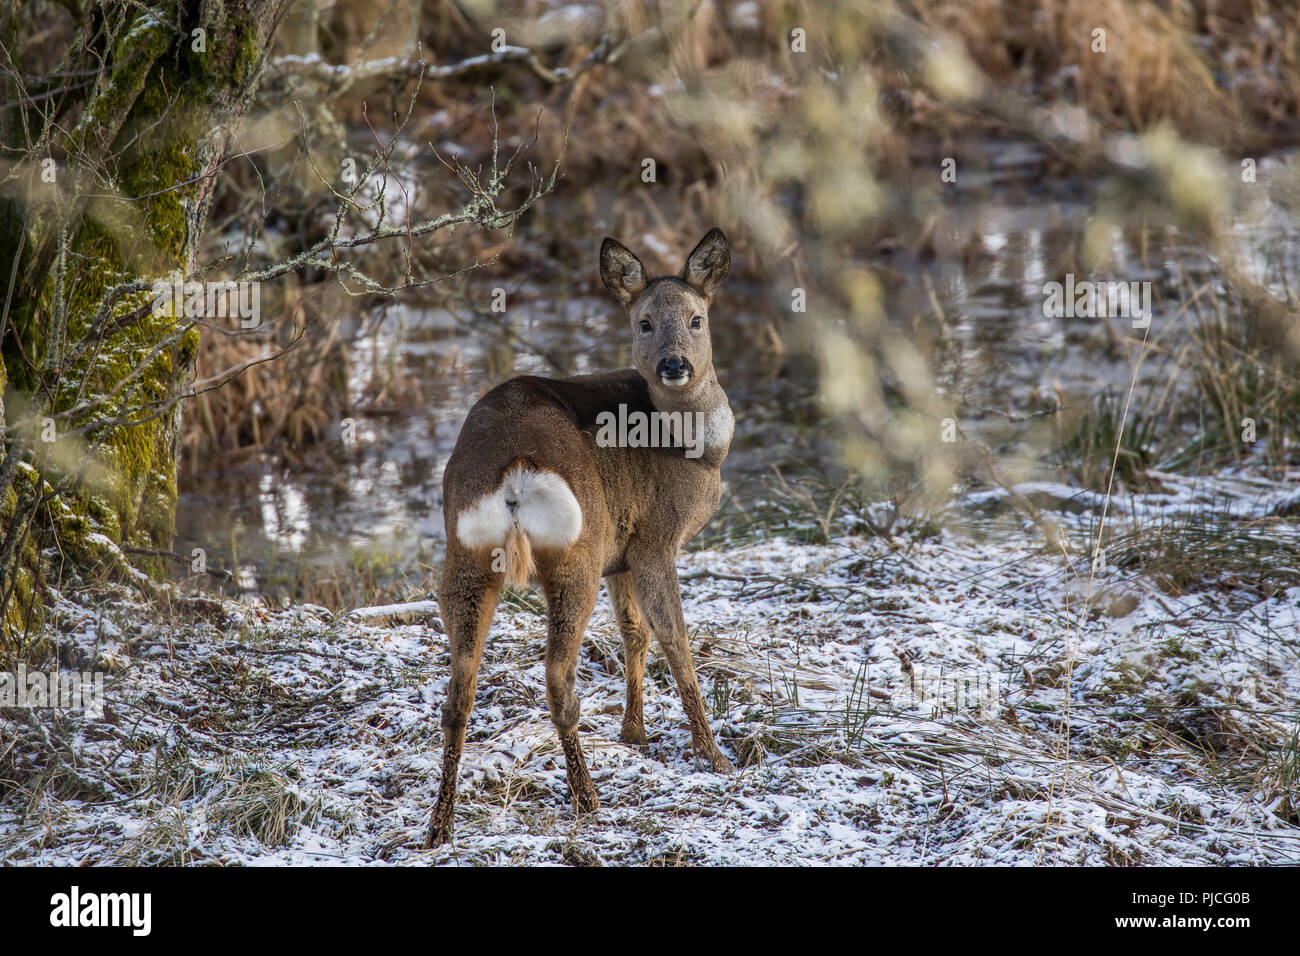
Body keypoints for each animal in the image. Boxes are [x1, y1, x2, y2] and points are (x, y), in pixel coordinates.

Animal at [427, 228, 736, 846]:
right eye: (644, 322)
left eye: (696, 318)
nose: (673, 365)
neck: (693, 447)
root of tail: (514, 469)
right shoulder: (654, 539)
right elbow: (676, 640)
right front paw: (711, 755)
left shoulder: (623, 550)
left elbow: (634, 634)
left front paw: (633, 733)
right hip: (577, 553)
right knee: (557, 676)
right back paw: (587, 799)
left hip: (466, 552)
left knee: (458, 690)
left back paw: (439, 826)